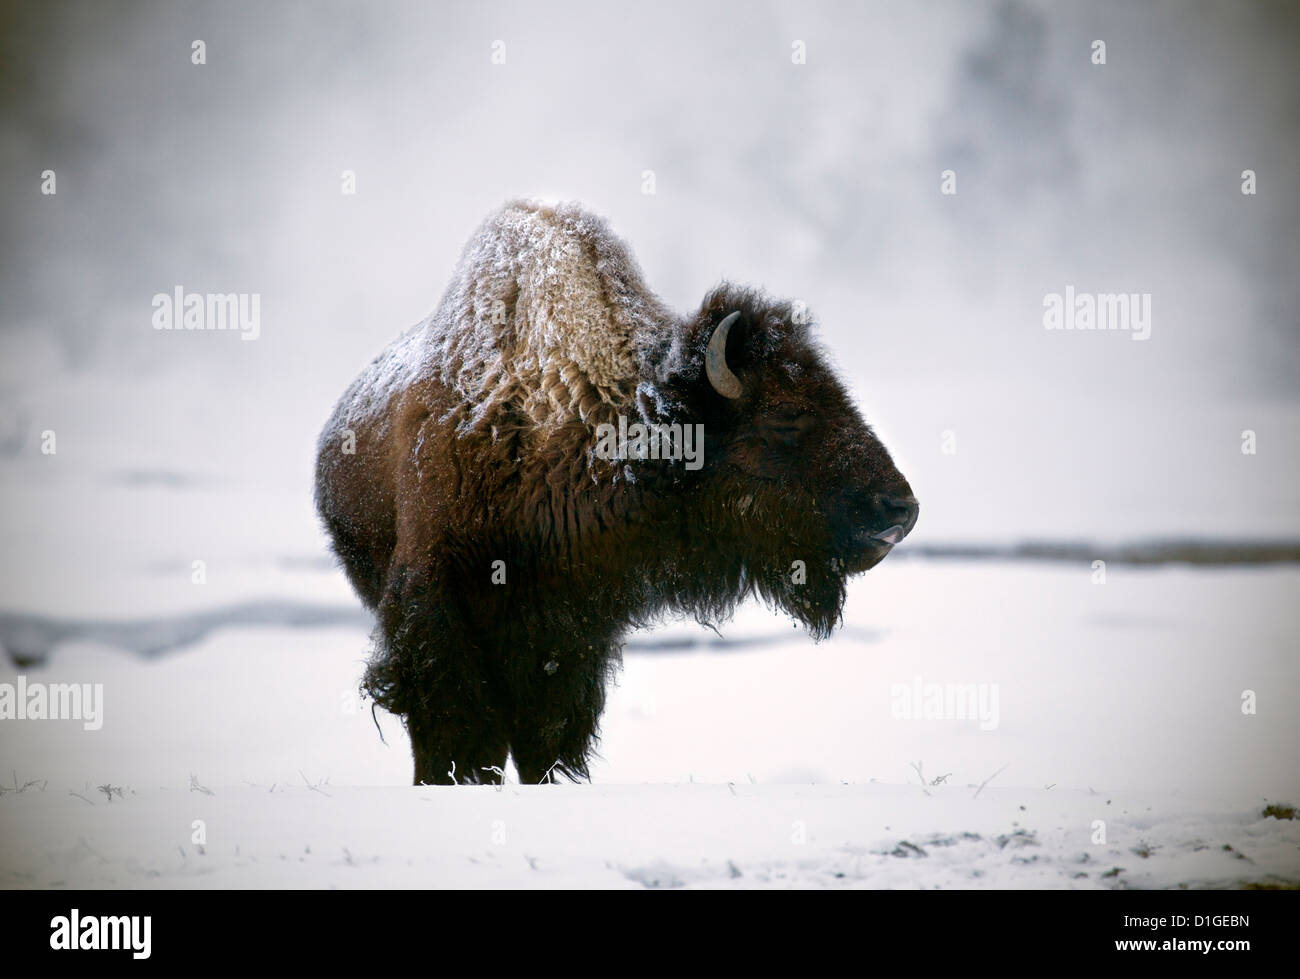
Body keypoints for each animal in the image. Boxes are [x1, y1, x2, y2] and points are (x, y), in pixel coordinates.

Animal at [315, 200, 918, 784]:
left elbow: (545, 738)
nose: (902, 508)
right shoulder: (436, 610)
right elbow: (459, 735)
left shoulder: (570, 636)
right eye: (785, 419)